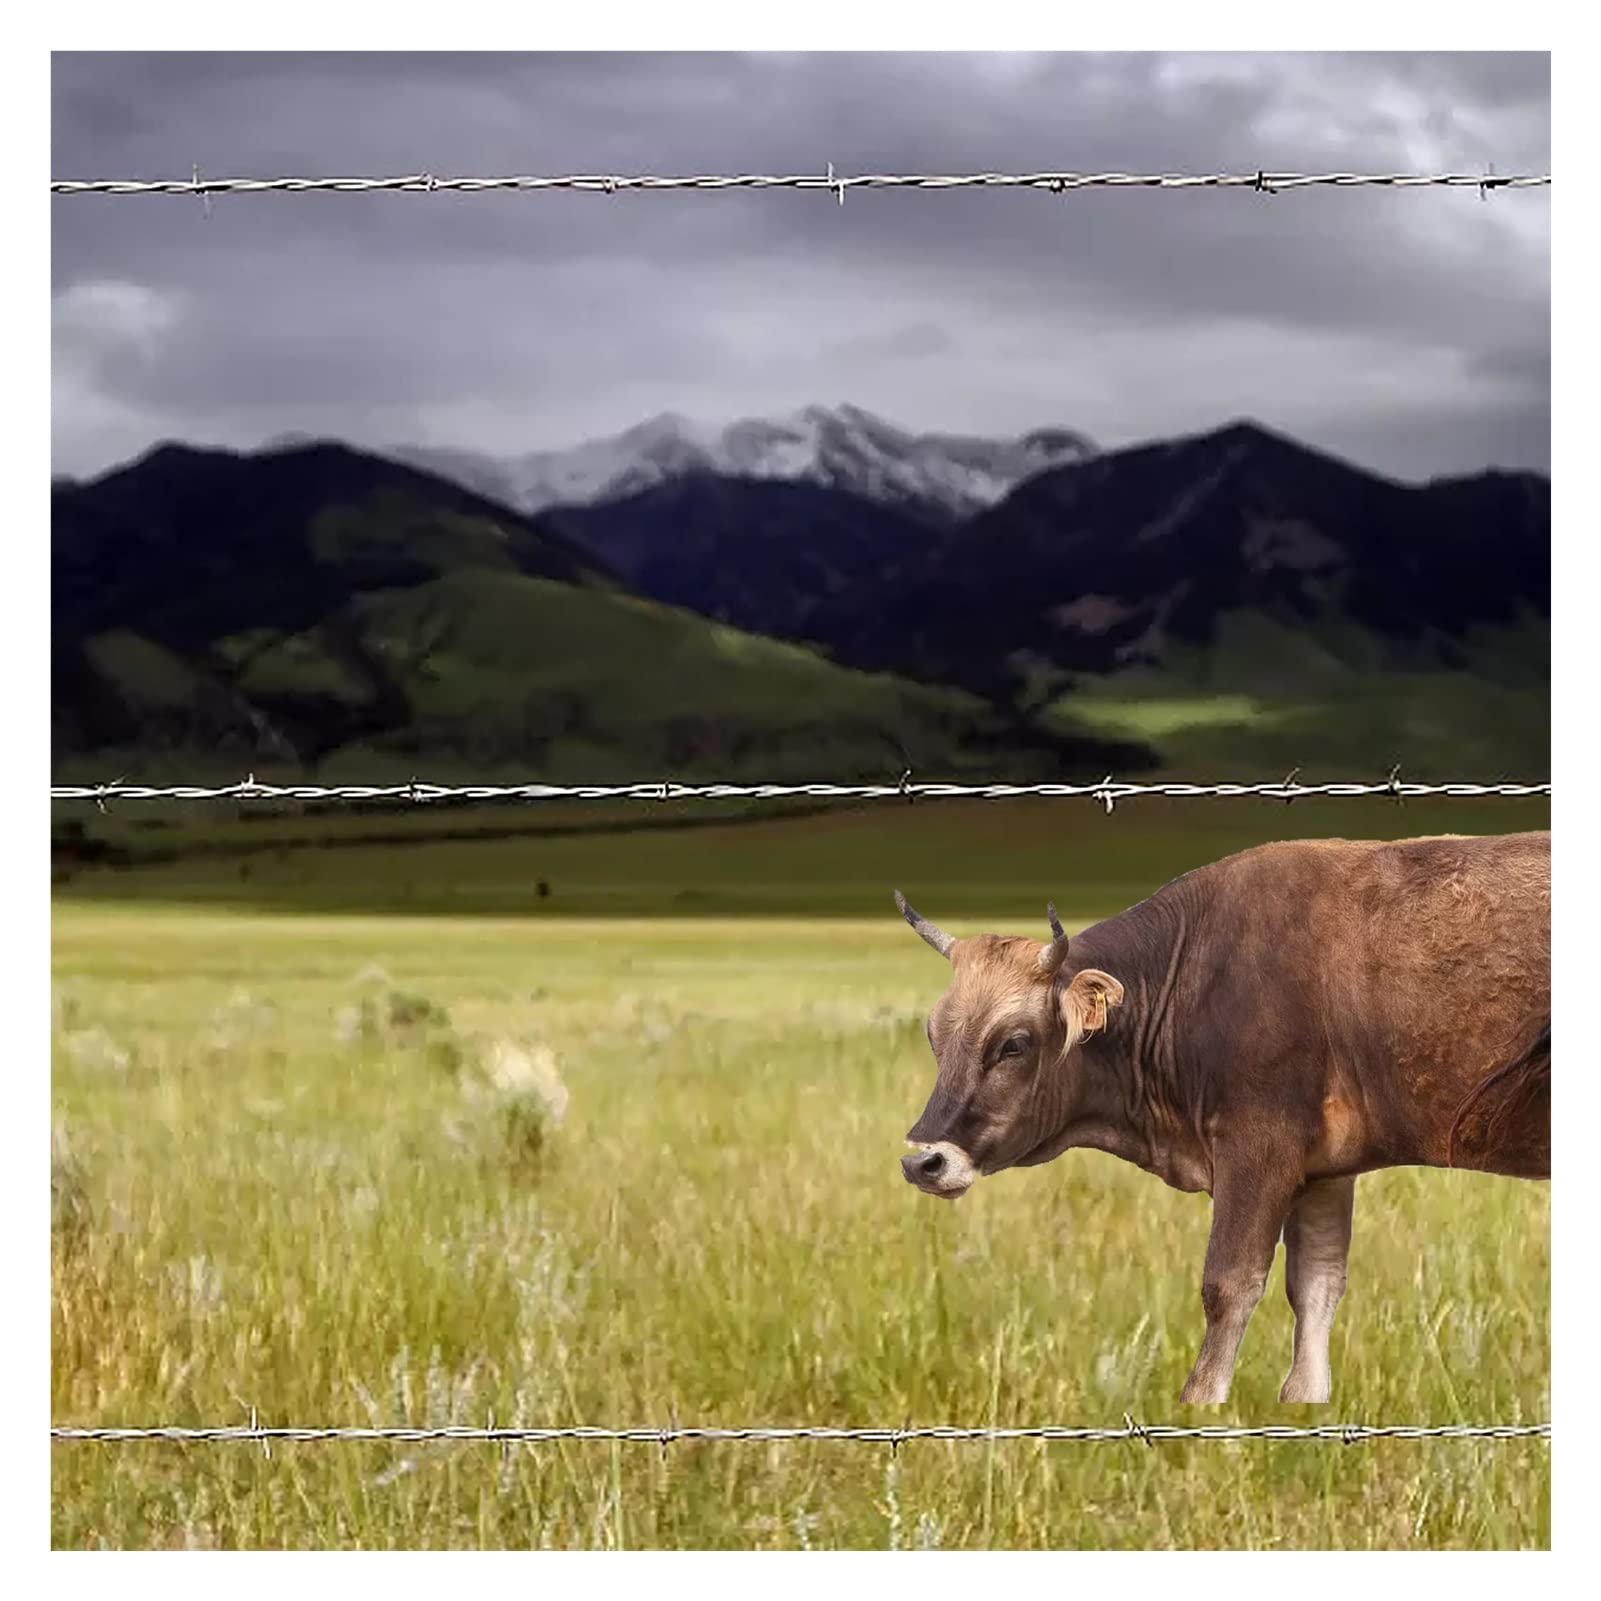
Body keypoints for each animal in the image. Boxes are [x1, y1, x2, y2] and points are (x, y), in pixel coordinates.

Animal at [894, 831, 1549, 1405]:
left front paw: (1202, 1408)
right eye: (934, 1036)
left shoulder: (1257, 1149)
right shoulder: (1325, 1170)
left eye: (1013, 1044)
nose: (922, 1160)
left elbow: (1228, 1287)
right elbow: (1316, 1293)